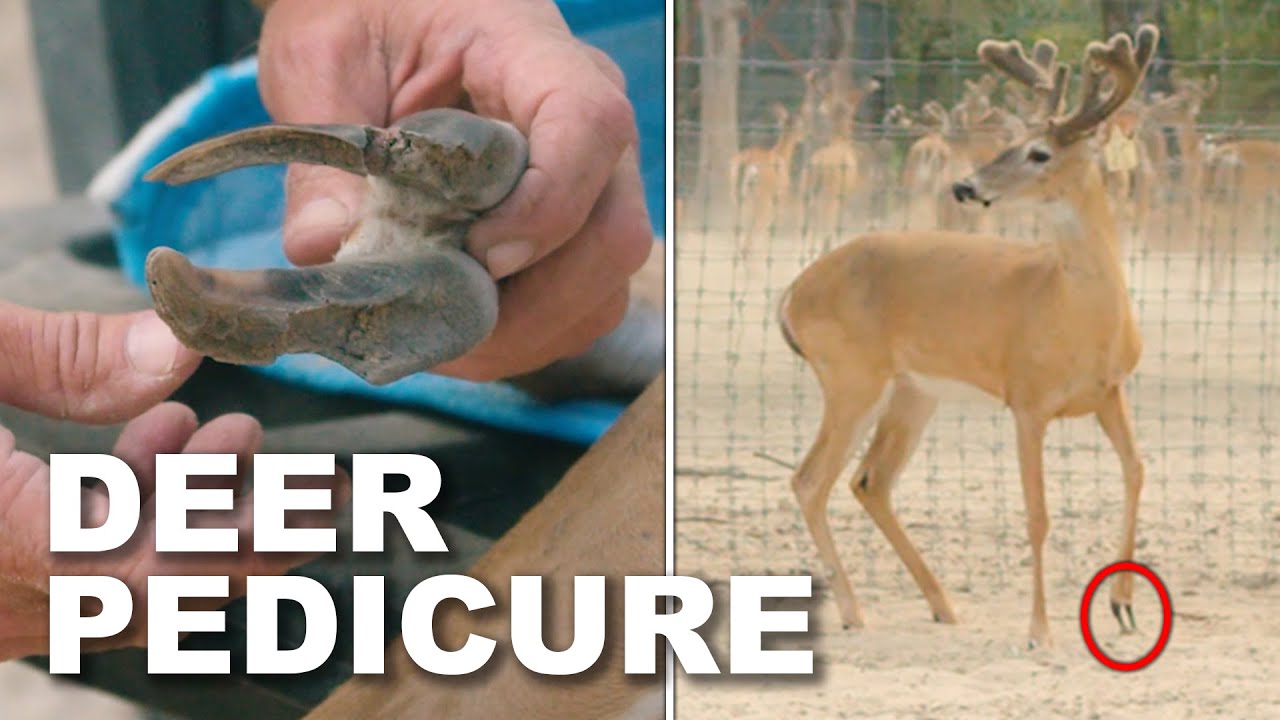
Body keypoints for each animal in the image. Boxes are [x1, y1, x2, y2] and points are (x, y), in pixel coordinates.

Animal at [776, 24, 1159, 650]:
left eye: (1038, 152)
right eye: (1013, 139)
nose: (963, 184)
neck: (1078, 313)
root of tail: (792, 294)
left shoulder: (1111, 390)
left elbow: (1136, 470)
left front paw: (1123, 606)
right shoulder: (1027, 399)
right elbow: (1037, 514)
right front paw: (1039, 631)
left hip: (914, 390)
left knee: (869, 480)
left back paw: (945, 606)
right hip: (851, 376)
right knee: (810, 479)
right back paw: (857, 612)